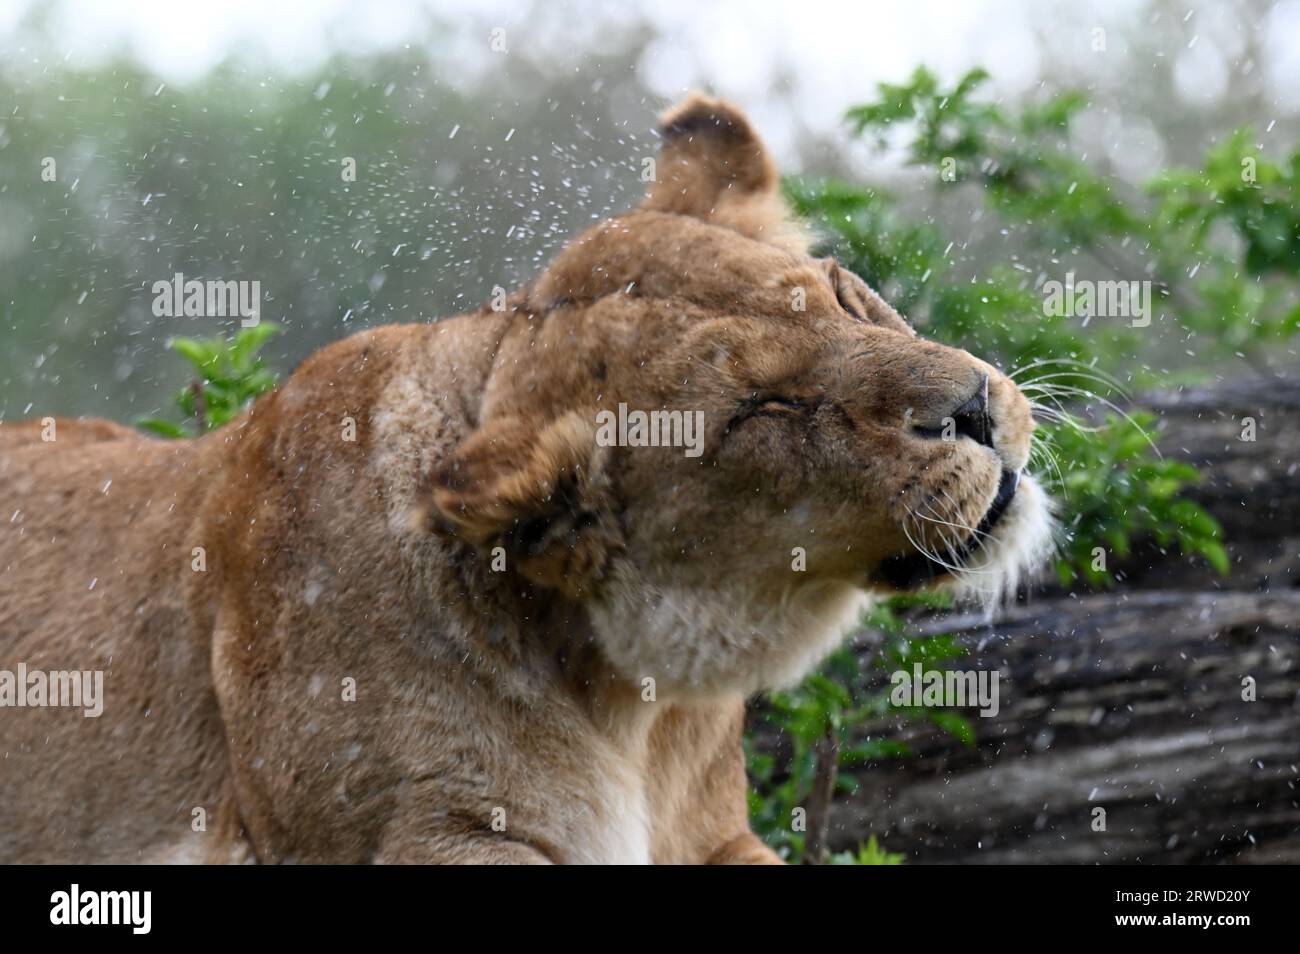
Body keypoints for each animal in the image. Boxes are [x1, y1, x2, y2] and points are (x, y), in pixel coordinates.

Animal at [0, 94, 1052, 864]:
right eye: (762, 410)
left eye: (841, 296)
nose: (972, 408)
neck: (629, 703)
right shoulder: (418, 835)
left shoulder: (716, 835)